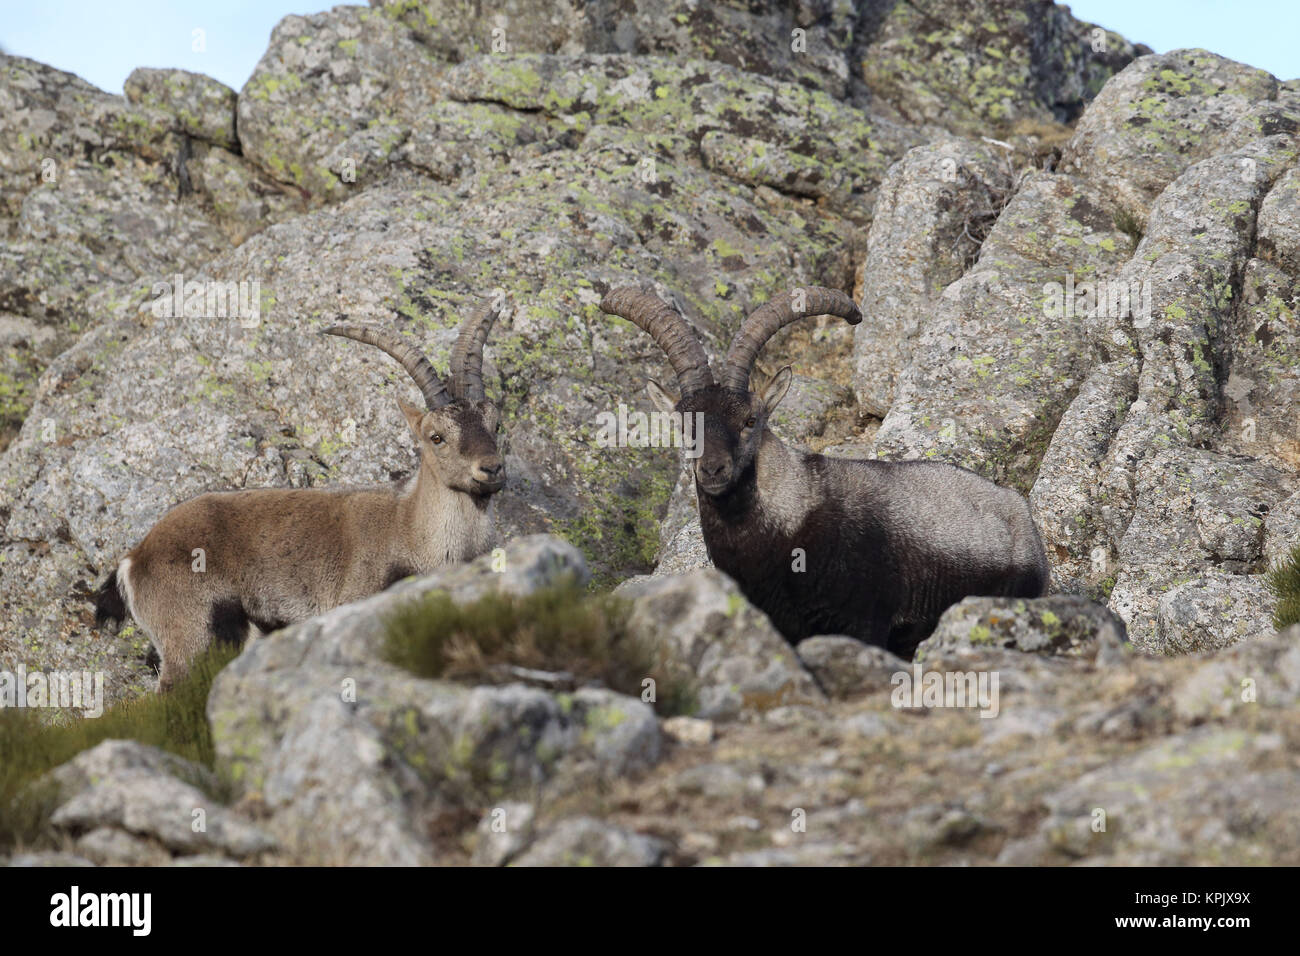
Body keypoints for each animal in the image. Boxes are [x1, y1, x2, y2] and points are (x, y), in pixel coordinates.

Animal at [94, 303, 508, 690]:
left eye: (496, 424)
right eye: (436, 436)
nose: (491, 469)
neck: (412, 530)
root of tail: (135, 557)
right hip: (189, 634)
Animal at [601, 285, 1049, 658]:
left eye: (750, 420)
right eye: (682, 425)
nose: (713, 469)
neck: (784, 519)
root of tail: (1022, 520)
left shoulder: (865, 620)